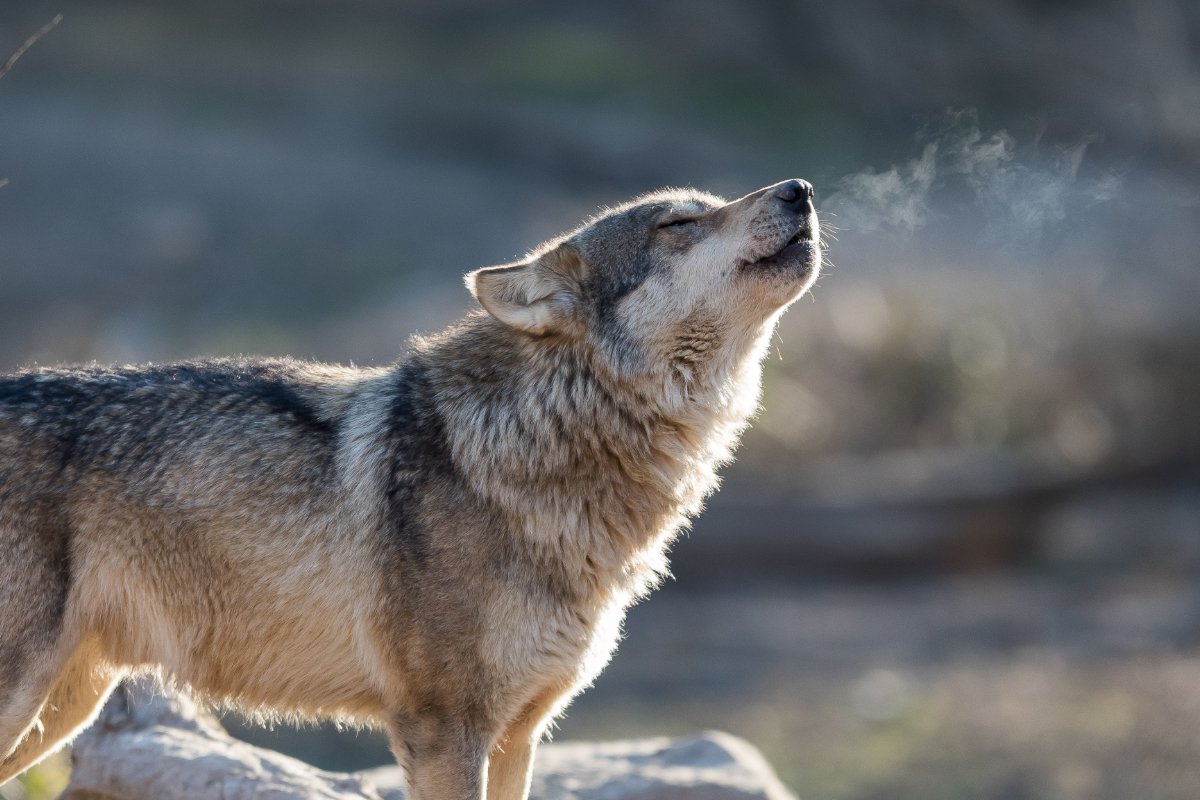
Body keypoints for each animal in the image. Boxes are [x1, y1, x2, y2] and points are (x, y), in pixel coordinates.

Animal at [0, 179, 819, 799]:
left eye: (709, 205)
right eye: (679, 224)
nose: (800, 188)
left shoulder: (519, 734)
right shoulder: (443, 729)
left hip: (67, 707)